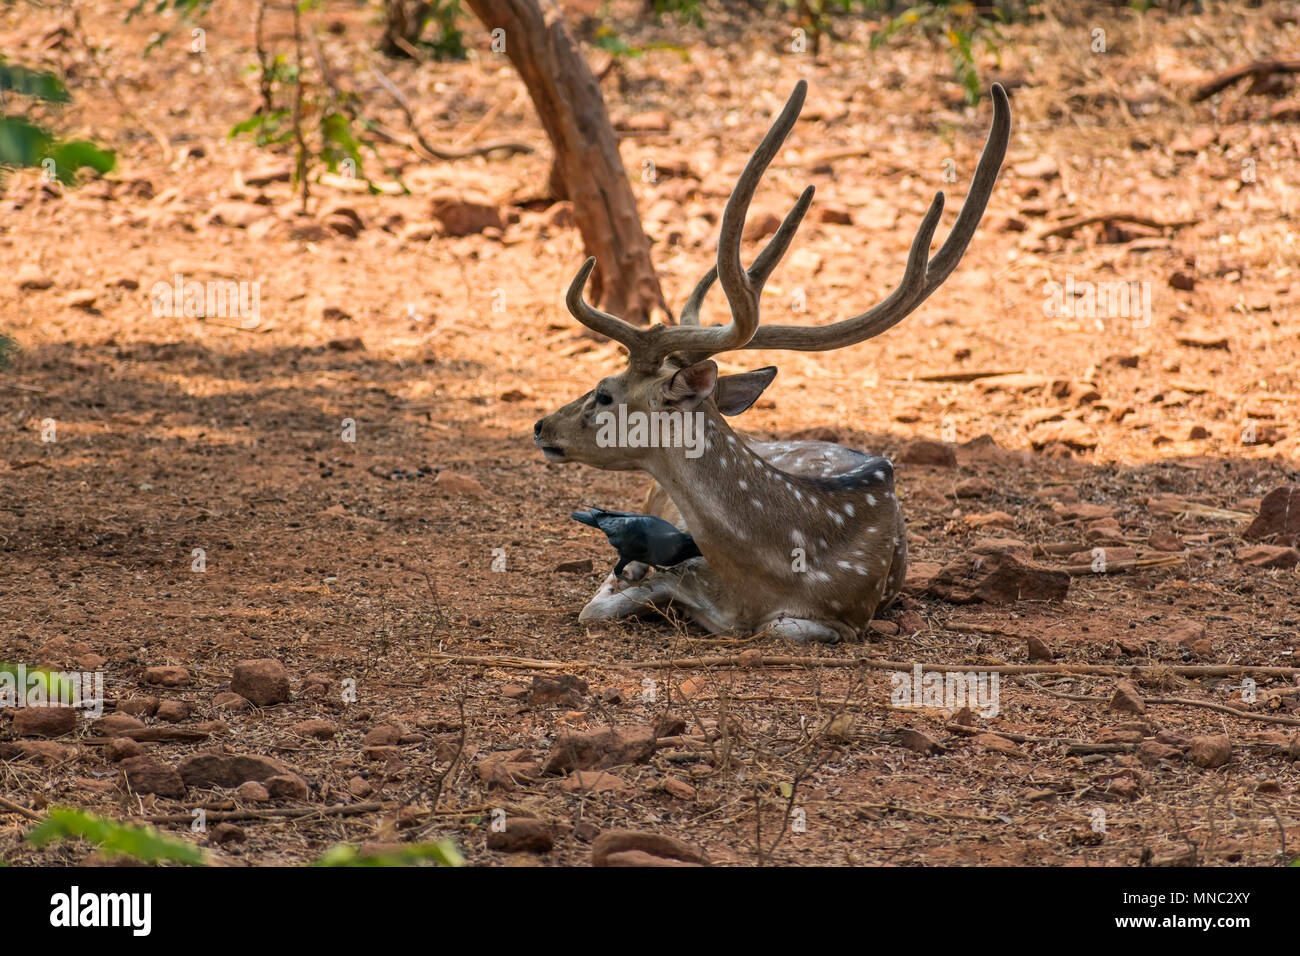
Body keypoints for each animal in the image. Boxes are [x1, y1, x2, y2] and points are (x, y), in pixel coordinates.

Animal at [534, 80, 1010, 643]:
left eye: (605, 392)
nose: (542, 426)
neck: (770, 570)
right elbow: (604, 604)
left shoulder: (843, 618)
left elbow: (778, 629)